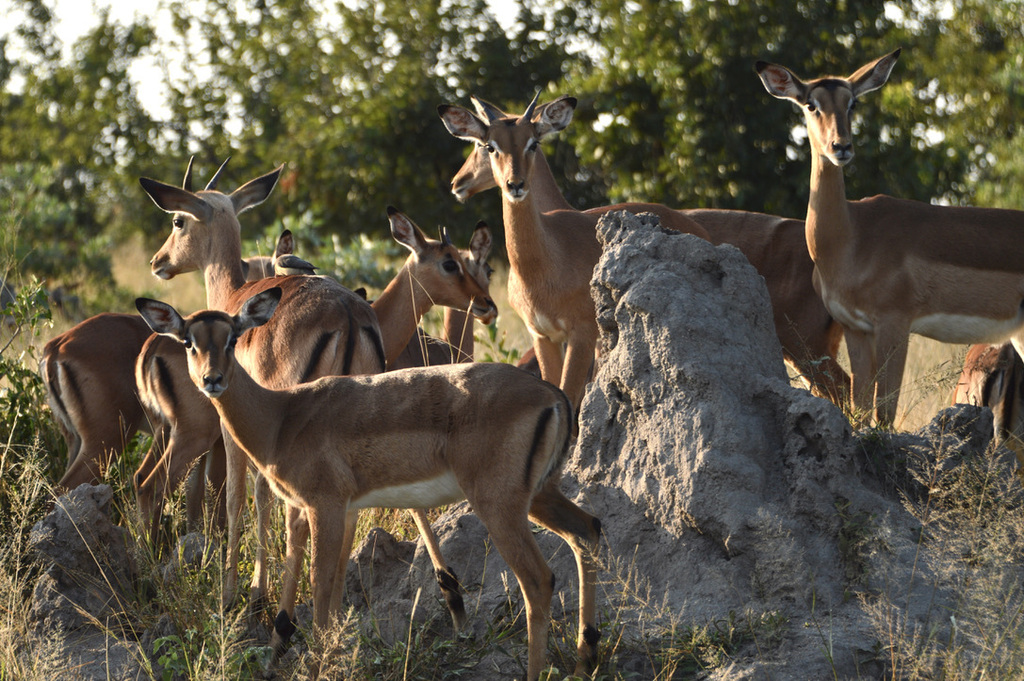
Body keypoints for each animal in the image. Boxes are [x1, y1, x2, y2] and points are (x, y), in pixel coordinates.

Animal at [136, 288, 602, 681]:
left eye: (232, 338)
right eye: (188, 341)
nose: (212, 379)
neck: (282, 417)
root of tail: (553, 397)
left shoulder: (324, 506)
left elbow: (321, 589)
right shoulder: (334, 509)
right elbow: (328, 592)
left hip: (499, 504)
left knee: (539, 581)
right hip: (539, 496)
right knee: (589, 533)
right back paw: (585, 660)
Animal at [139, 158, 385, 609]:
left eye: (178, 220)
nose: (158, 261)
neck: (235, 295)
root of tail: (347, 314)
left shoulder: (236, 429)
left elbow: (240, 497)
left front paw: (237, 591)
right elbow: (260, 495)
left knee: (296, 511)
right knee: (348, 510)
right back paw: (334, 606)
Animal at [438, 94, 712, 415]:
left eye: (533, 143)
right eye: (490, 145)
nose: (458, 182)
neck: (541, 264)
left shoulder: (581, 335)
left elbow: (571, 398)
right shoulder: (543, 335)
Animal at [756, 49, 1024, 426]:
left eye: (852, 102)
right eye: (811, 104)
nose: (841, 147)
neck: (850, 238)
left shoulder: (894, 324)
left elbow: (884, 414)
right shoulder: (856, 328)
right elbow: (860, 409)